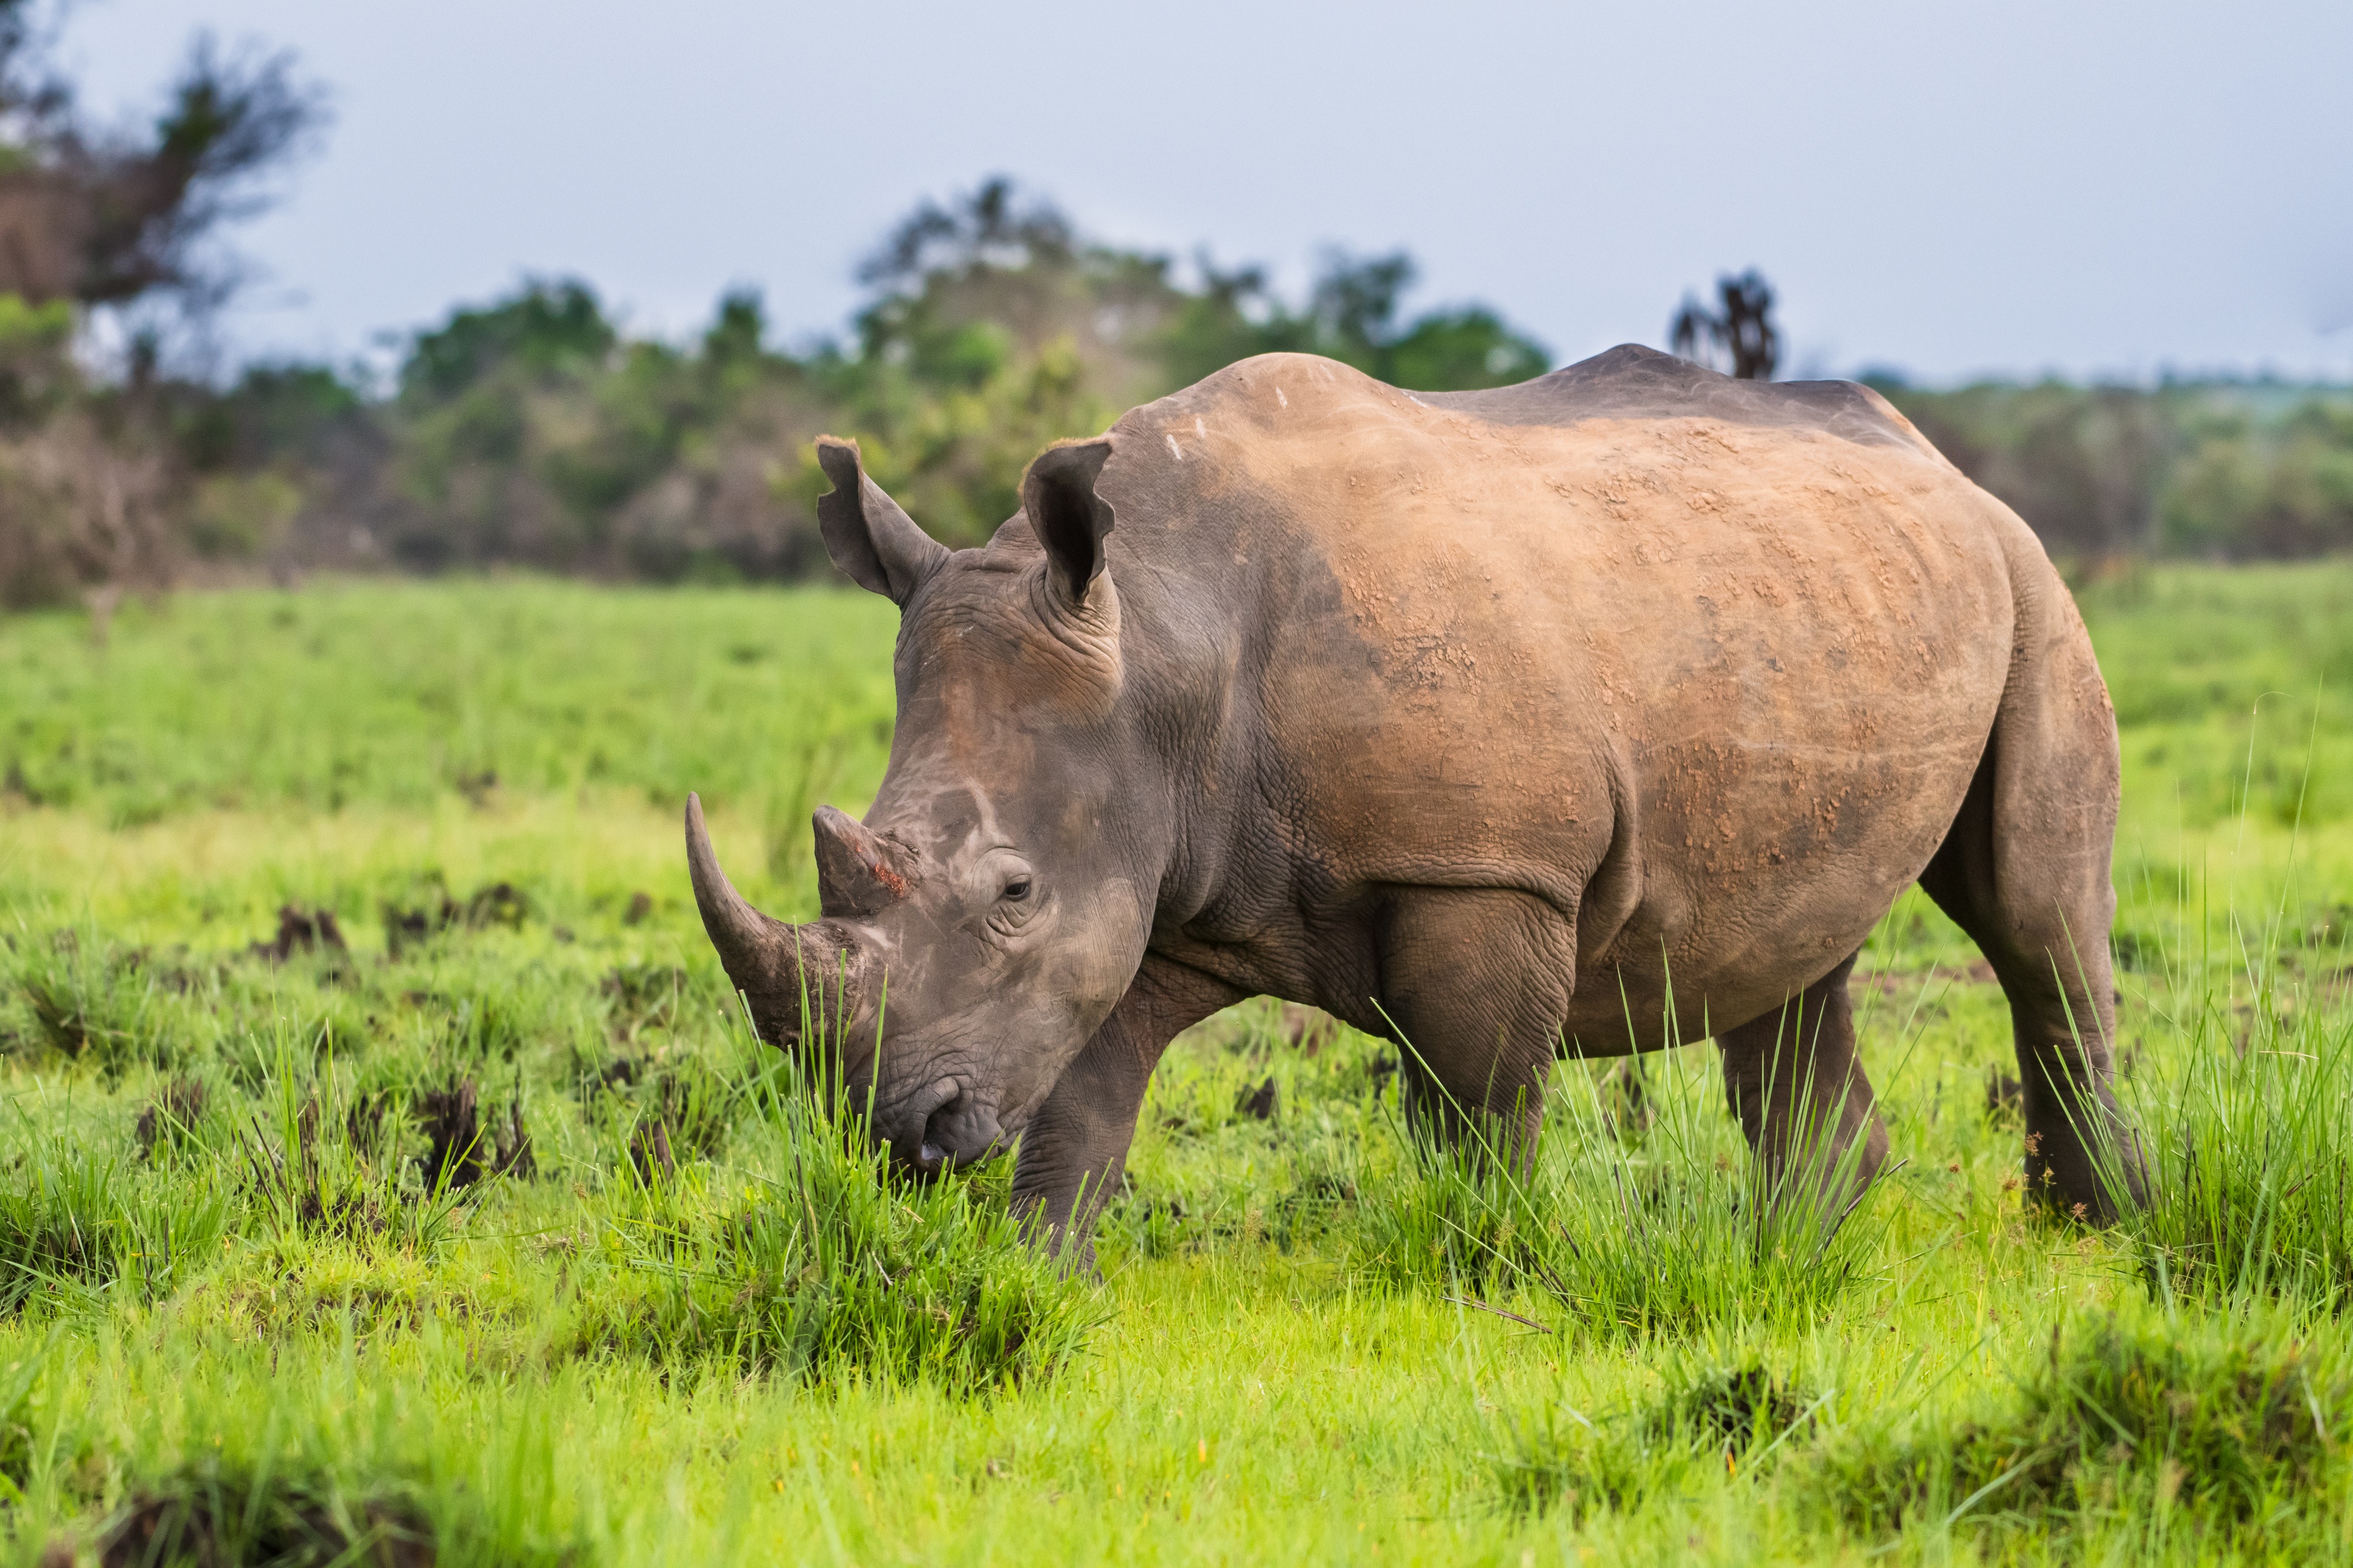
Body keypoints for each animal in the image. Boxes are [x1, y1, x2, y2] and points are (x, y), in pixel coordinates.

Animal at [685, 344, 2142, 1258]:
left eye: (1010, 888)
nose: (898, 1134)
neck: (1162, 633)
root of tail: (1938, 457)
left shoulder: (1486, 866)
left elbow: (1475, 1109)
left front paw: (1481, 1271)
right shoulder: (1155, 868)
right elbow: (1080, 1103)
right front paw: (1038, 1277)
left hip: (2029, 582)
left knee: (2035, 919)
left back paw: (2094, 1233)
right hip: (1813, 611)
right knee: (1789, 954)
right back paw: (1792, 1258)